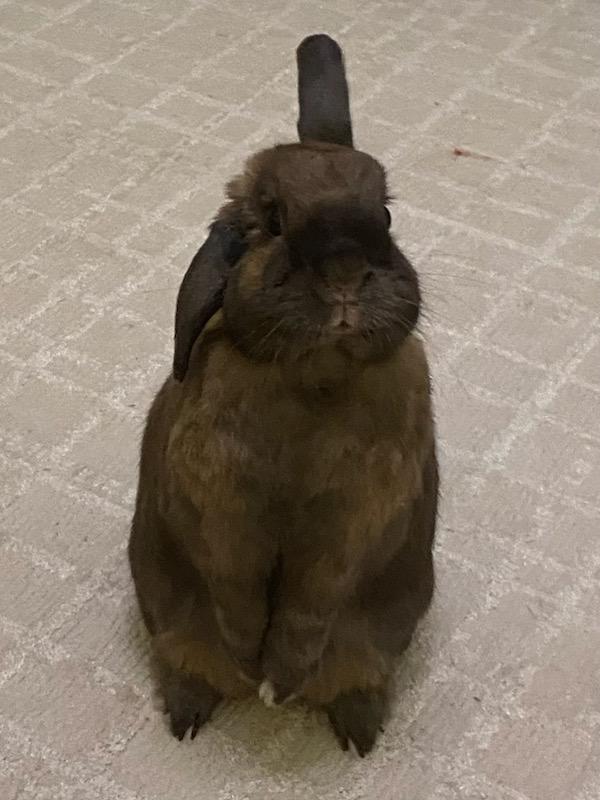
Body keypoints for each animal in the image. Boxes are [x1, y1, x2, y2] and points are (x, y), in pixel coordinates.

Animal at [128, 33, 438, 757]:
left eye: (386, 215)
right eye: (271, 221)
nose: (346, 271)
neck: (311, 378)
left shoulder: (352, 526)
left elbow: (307, 611)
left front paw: (280, 680)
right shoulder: (223, 512)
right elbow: (239, 593)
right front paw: (251, 664)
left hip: (387, 634)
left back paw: (356, 732)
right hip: (164, 612)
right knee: (184, 665)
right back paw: (191, 716)